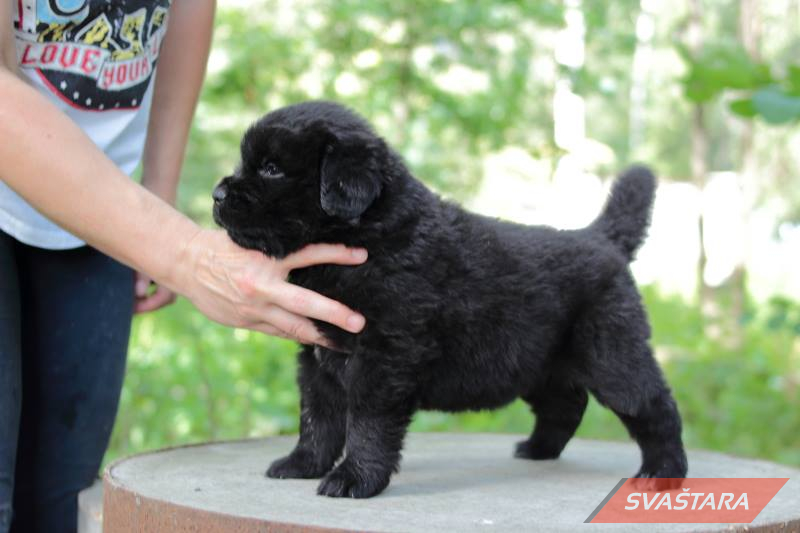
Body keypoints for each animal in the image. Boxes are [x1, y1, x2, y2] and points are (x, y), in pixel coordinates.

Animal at [212, 101, 688, 498]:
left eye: (272, 168)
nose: (217, 195)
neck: (370, 236)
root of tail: (601, 239)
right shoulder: (318, 354)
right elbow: (317, 415)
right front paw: (303, 463)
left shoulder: (385, 355)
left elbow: (366, 420)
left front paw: (354, 478)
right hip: (539, 363)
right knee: (567, 404)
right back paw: (537, 449)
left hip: (612, 355)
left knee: (655, 406)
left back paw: (663, 473)